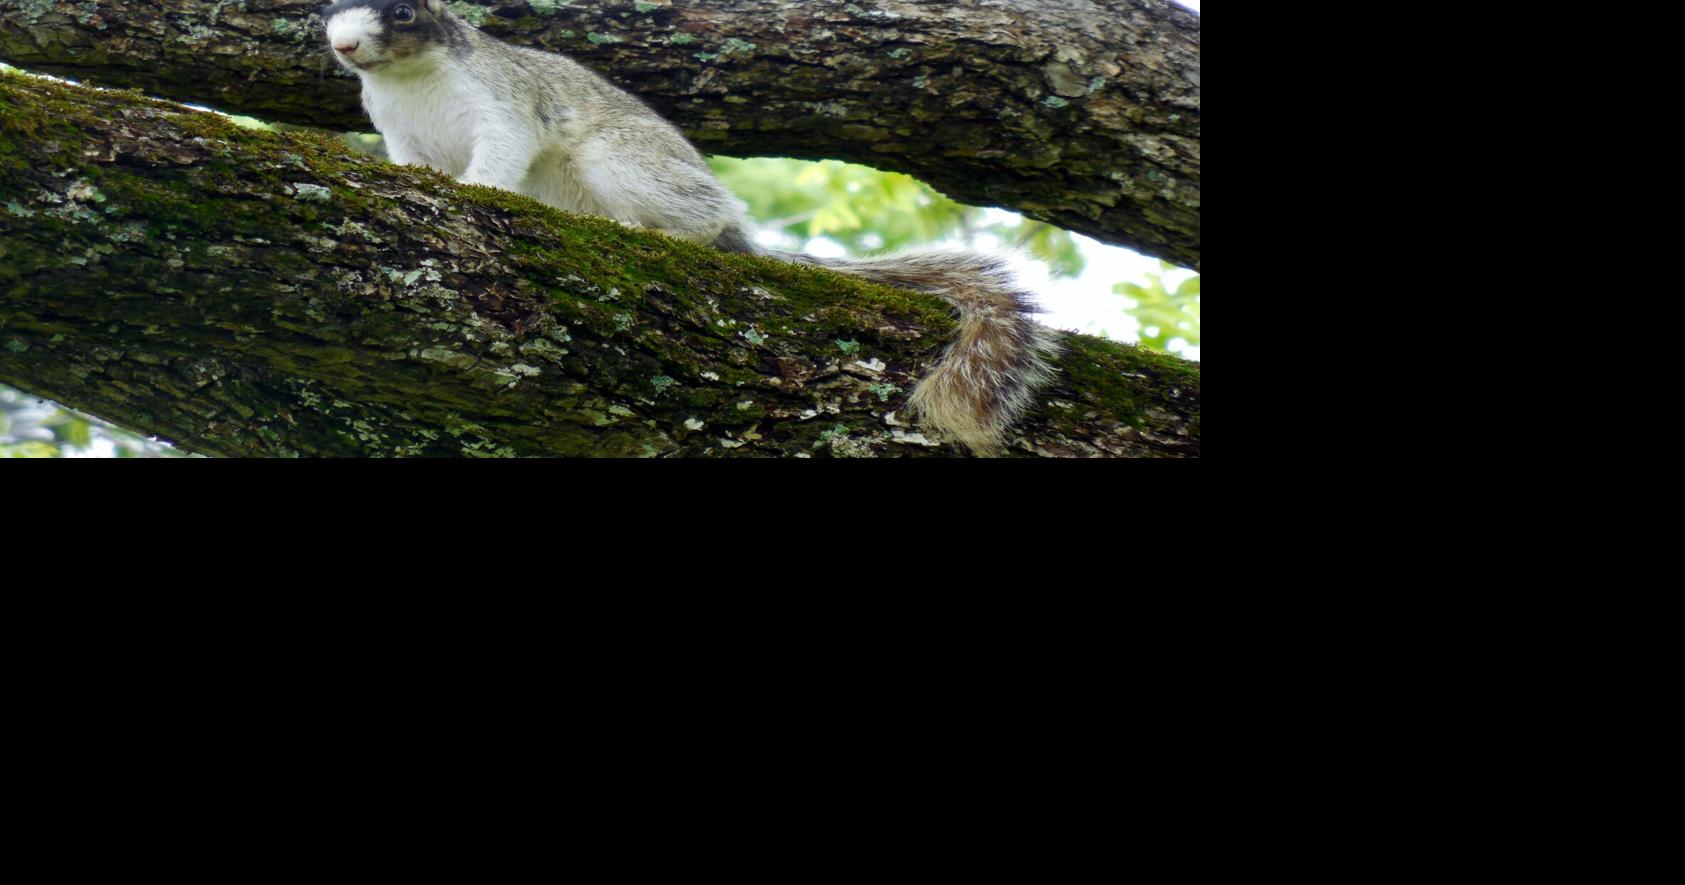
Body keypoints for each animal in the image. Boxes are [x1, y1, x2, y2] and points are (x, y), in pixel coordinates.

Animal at [321, 0, 1060, 455]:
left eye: (403, 11)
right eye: (325, 10)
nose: (343, 43)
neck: (411, 79)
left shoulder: (504, 104)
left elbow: (502, 150)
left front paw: (477, 188)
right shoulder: (400, 132)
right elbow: (412, 163)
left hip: (624, 161)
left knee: (704, 223)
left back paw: (672, 235)